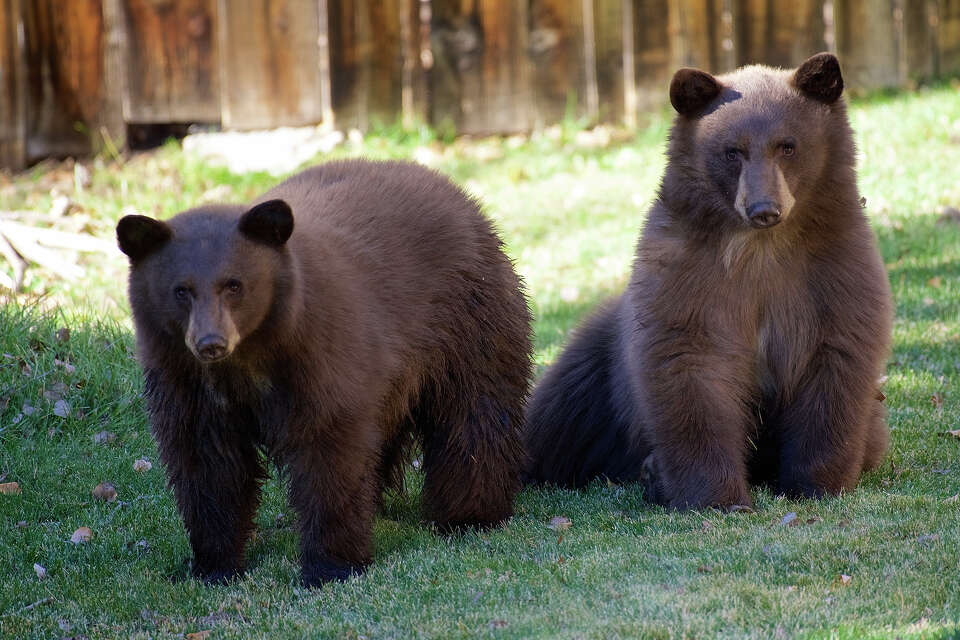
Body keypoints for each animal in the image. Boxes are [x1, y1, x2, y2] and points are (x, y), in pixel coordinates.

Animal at [116, 159, 533, 586]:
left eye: (234, 285)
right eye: (181, 290)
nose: (211, 343)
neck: (247, 359)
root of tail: (462, 197)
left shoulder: (322, 355)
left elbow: (330, 449)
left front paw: (330, 566)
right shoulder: (186, 380)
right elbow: (208, 461)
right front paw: (214, 565)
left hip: (469, 321)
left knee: (474, 415)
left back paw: (471, 515)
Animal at [524, 53, 893, 510]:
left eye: (788, 146)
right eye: (732, 152)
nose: (764, 208)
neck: (762, 249)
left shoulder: (832, 272)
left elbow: (834, 363)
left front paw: (815, 484)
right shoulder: (688, 275)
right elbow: (692, 366)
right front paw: (718, 497)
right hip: (594, 363)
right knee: (555, 415)